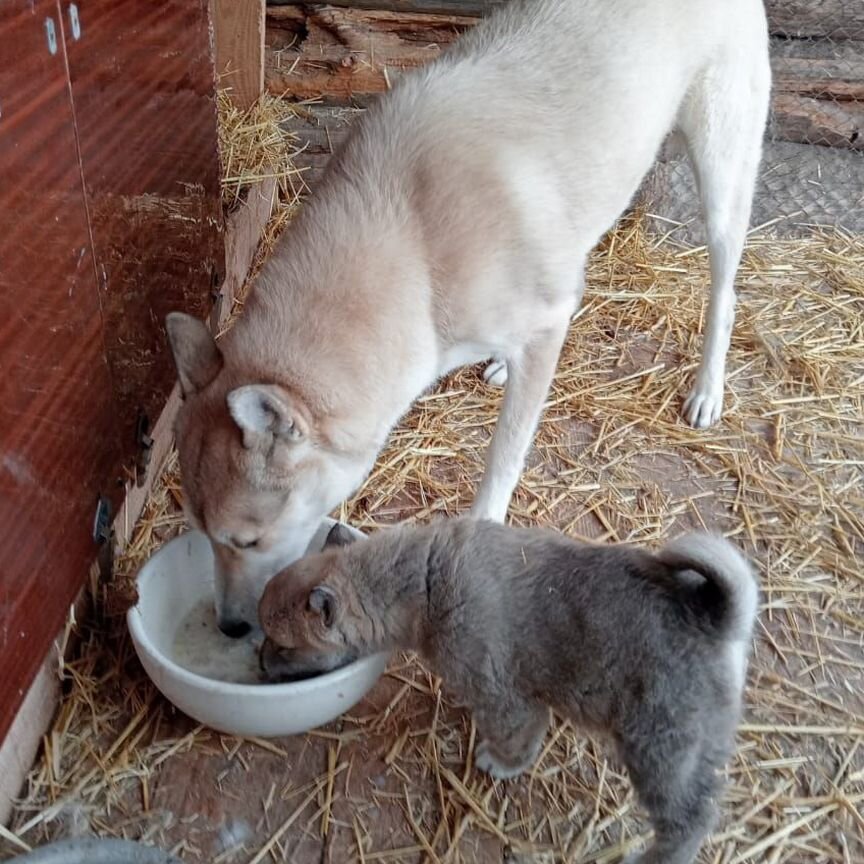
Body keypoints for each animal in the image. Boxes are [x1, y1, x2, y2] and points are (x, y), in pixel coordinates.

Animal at [167, 0, 768, 636]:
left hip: (721, 179)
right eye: (202, 535)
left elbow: (504, 457)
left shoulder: (543, 326)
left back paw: (707, 390)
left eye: (249, 541)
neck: (414, 249)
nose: (231, 626)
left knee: (725, 293)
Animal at [258, 516, 756, 860]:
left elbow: (516, 739)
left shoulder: (505, 697)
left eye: (283, 645)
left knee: (690, 821)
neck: (422, 583)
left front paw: (500, 763)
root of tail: (715, 620)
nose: (259, 664)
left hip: (661, 752)